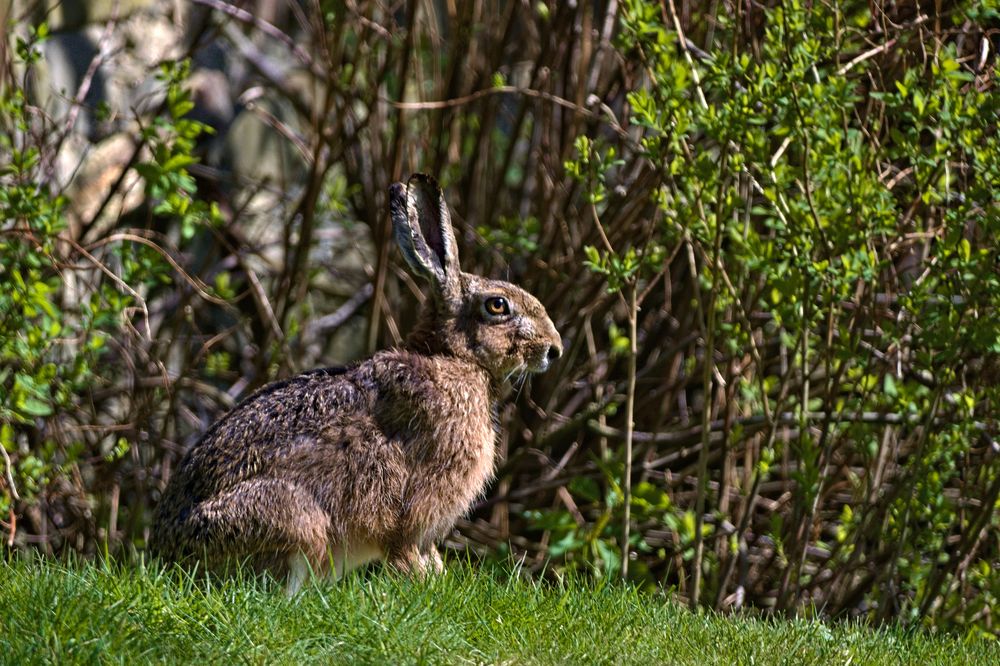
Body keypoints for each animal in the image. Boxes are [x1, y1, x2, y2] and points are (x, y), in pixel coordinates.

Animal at [149, 173, 562, 593]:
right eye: (497, 306)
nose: (554, 349)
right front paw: (424, 582)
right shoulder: (416, 507)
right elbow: (406, 550)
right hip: (293, 515)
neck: (454, 358)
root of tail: (167, 555)